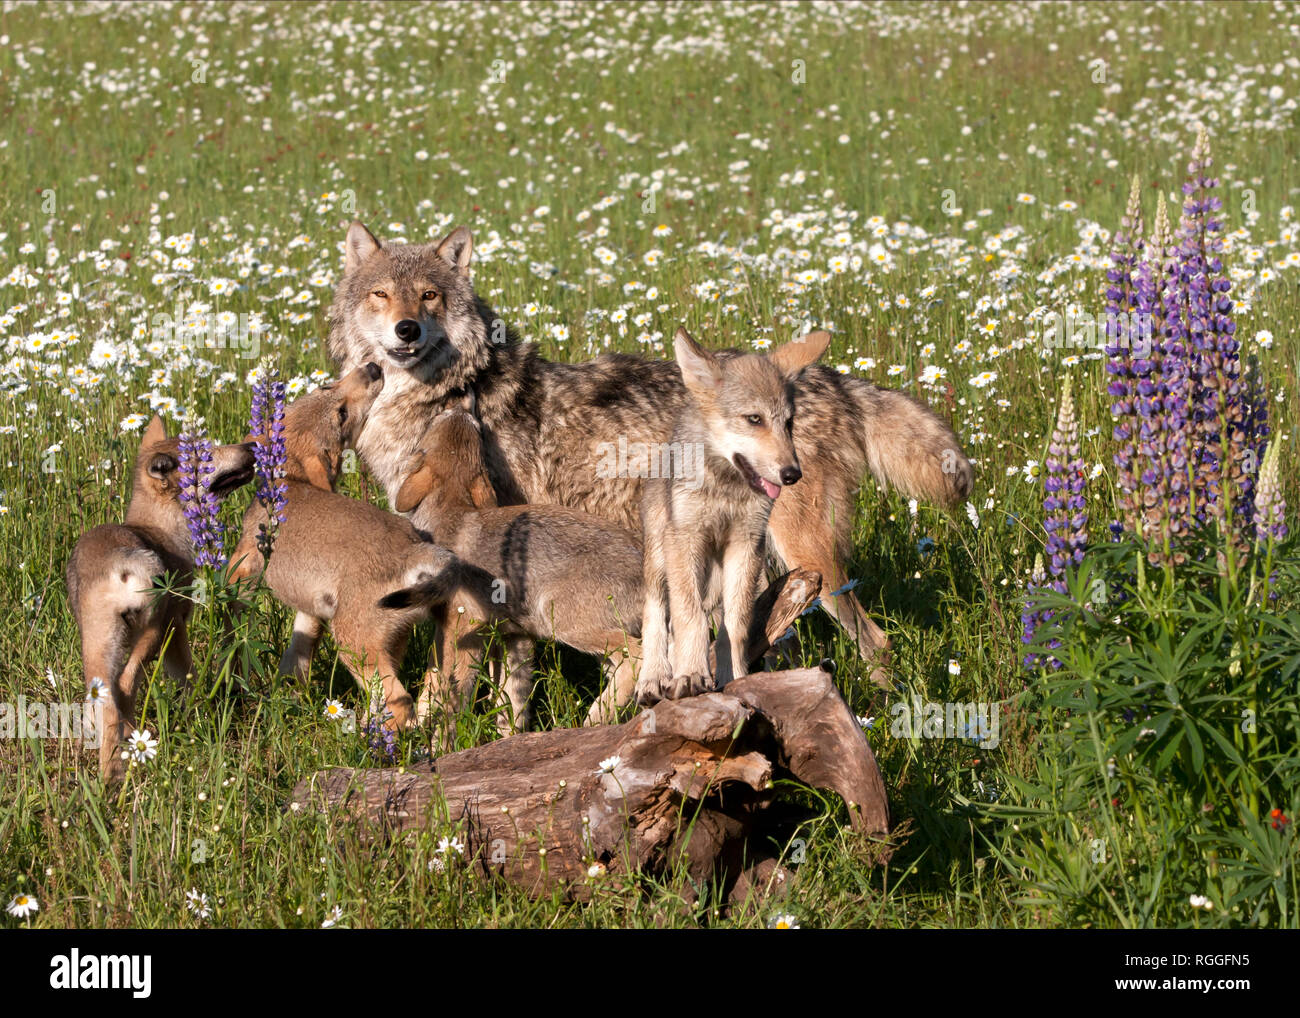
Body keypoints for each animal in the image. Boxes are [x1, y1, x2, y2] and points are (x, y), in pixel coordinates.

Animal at [66, 416, 254, 780]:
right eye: (206, 453)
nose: (251, 446)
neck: (159, 528)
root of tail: (121, 562)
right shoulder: (177, 624)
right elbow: (188, 677)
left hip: (99, 647)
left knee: (109, 704)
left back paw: (111, 776)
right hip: (154, 634)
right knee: (126, 687)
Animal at [637, 327, 829, 705]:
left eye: (788, 423)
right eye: (754, 419)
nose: (792, 474)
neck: (725, 487)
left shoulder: (746, 544)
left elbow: (735, 624)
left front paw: (734, 677)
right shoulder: (685, 541)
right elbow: (689, 618)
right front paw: (690, 675)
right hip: (661, 560)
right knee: (657, 616)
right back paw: (654, 679)